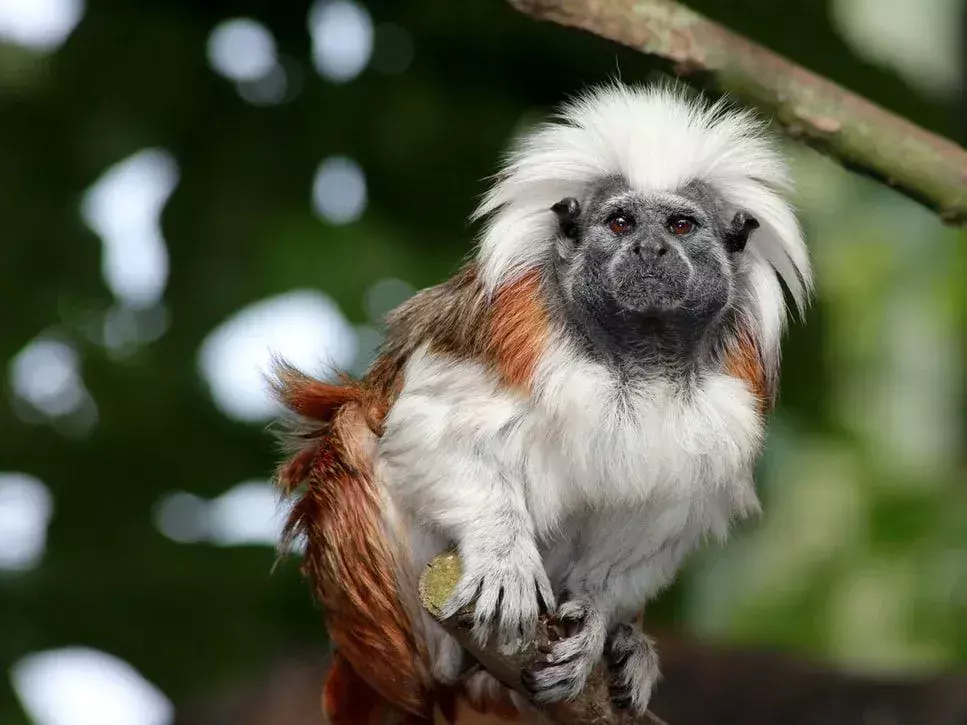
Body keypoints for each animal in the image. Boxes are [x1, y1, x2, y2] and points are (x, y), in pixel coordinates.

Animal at [270, 80, 808, 724]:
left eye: (681, 225)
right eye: (621, 222)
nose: (650, 249)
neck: (637, 354)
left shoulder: (738, 384)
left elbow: (659, 511)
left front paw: (597, 616)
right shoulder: (513, 322)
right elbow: (434, 429)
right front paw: (504, 557)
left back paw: (627, 650)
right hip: (375, 621)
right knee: (353, 431)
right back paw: (446, 659)